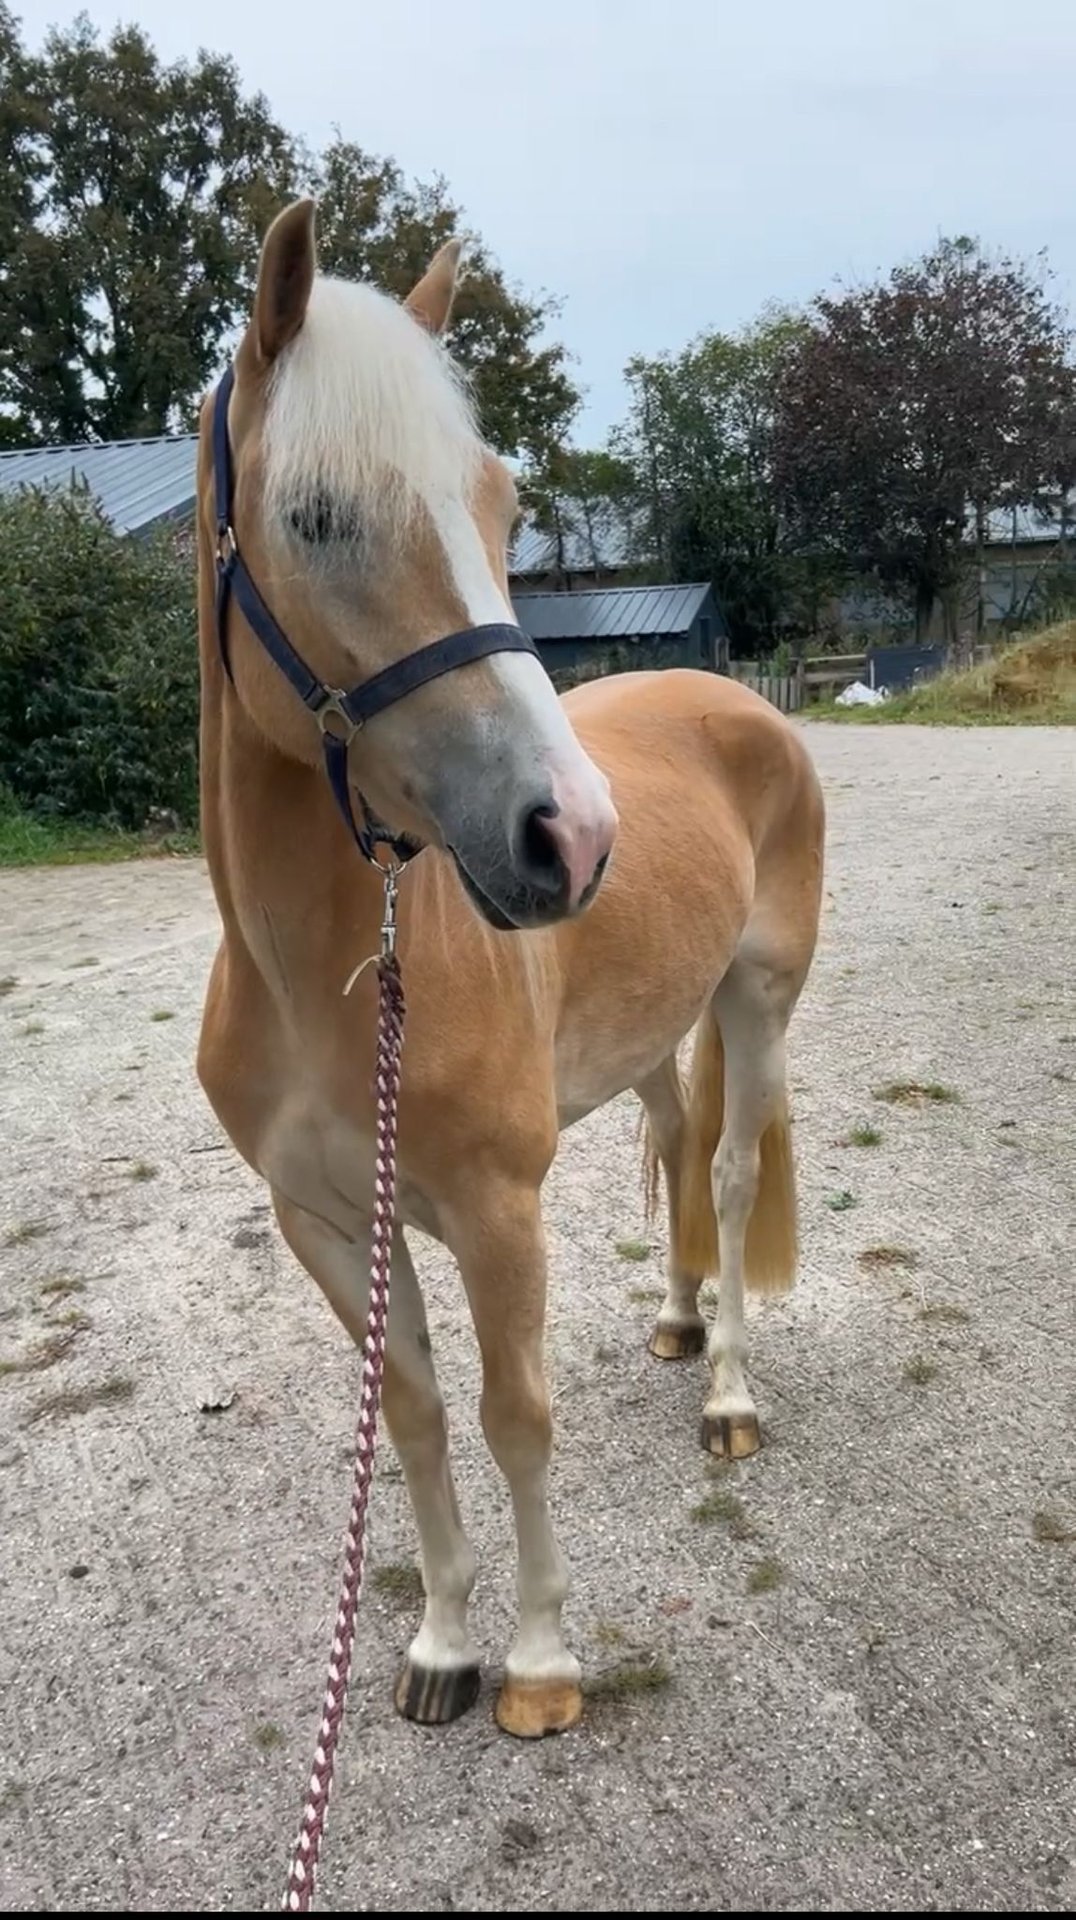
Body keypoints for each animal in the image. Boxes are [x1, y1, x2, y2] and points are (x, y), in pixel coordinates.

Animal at [196, 199, 825, 1742]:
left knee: (730, 1173)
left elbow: (513, 1414)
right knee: (678, 1138)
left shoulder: (496, 1214)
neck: (325, 988)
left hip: (758, 1000)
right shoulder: (324, 1223)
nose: (573, 837)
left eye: (500, 505)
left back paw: (727, 1396)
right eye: (317, 516)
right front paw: (440, 1641)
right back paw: (675, 1324)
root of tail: (730, 699)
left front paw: (539, 1665)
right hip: (655, 1031)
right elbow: (417, 1416)